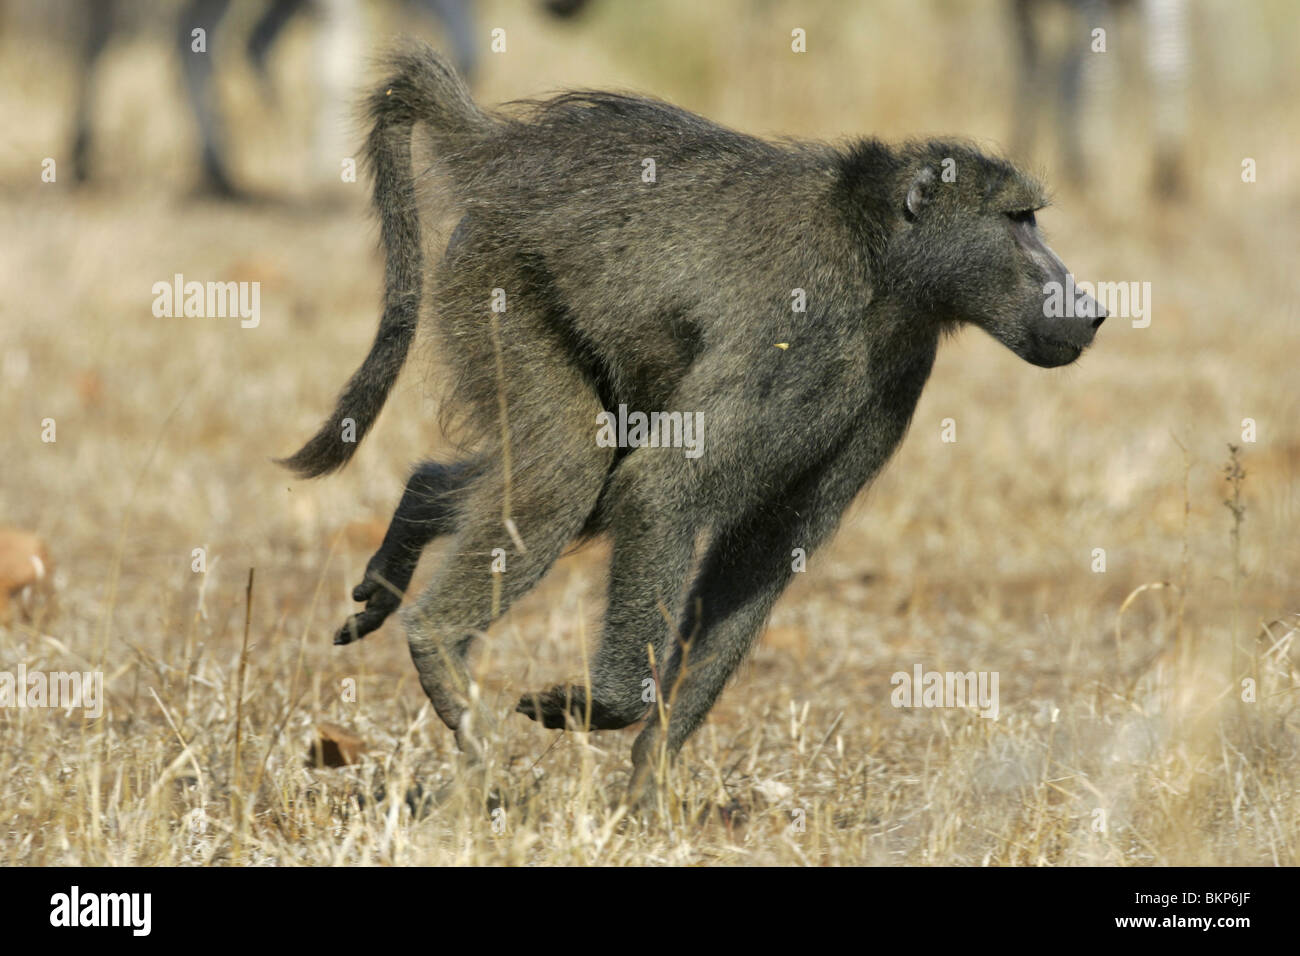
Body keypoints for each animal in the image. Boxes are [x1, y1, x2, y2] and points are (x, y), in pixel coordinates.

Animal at [280, 41, 1105, 801]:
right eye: (1019, 221)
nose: (1091, 310)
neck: (879, 260)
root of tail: (508, 151)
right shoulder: (802, 324)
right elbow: (662, 489)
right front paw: (599, 708)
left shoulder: (895, 376)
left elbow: (763, 549)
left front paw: (649, 782)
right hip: (499, 281)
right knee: (576, 468)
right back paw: (442, 652)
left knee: (570, 481)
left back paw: (416, 519)